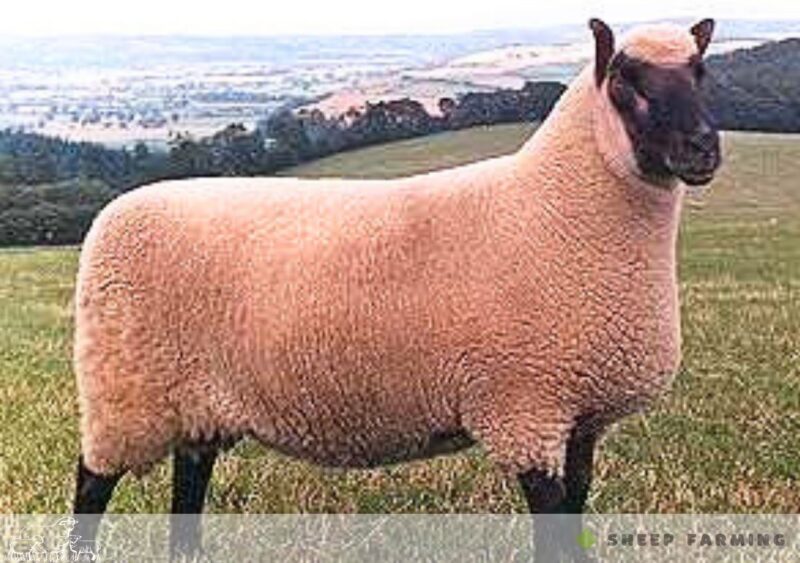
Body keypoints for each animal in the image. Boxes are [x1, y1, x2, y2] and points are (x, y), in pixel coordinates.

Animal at [72, 18, 721, 560]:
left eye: (700, 72)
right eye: (626, 80)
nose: (703, 149)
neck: (555, 208)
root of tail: (113, 214)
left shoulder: (579, 414)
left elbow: (574, 508)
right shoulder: (525, 409)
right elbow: (552, 522)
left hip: (196, 398)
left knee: (190, 476)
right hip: (124, 386)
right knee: (92, 481)